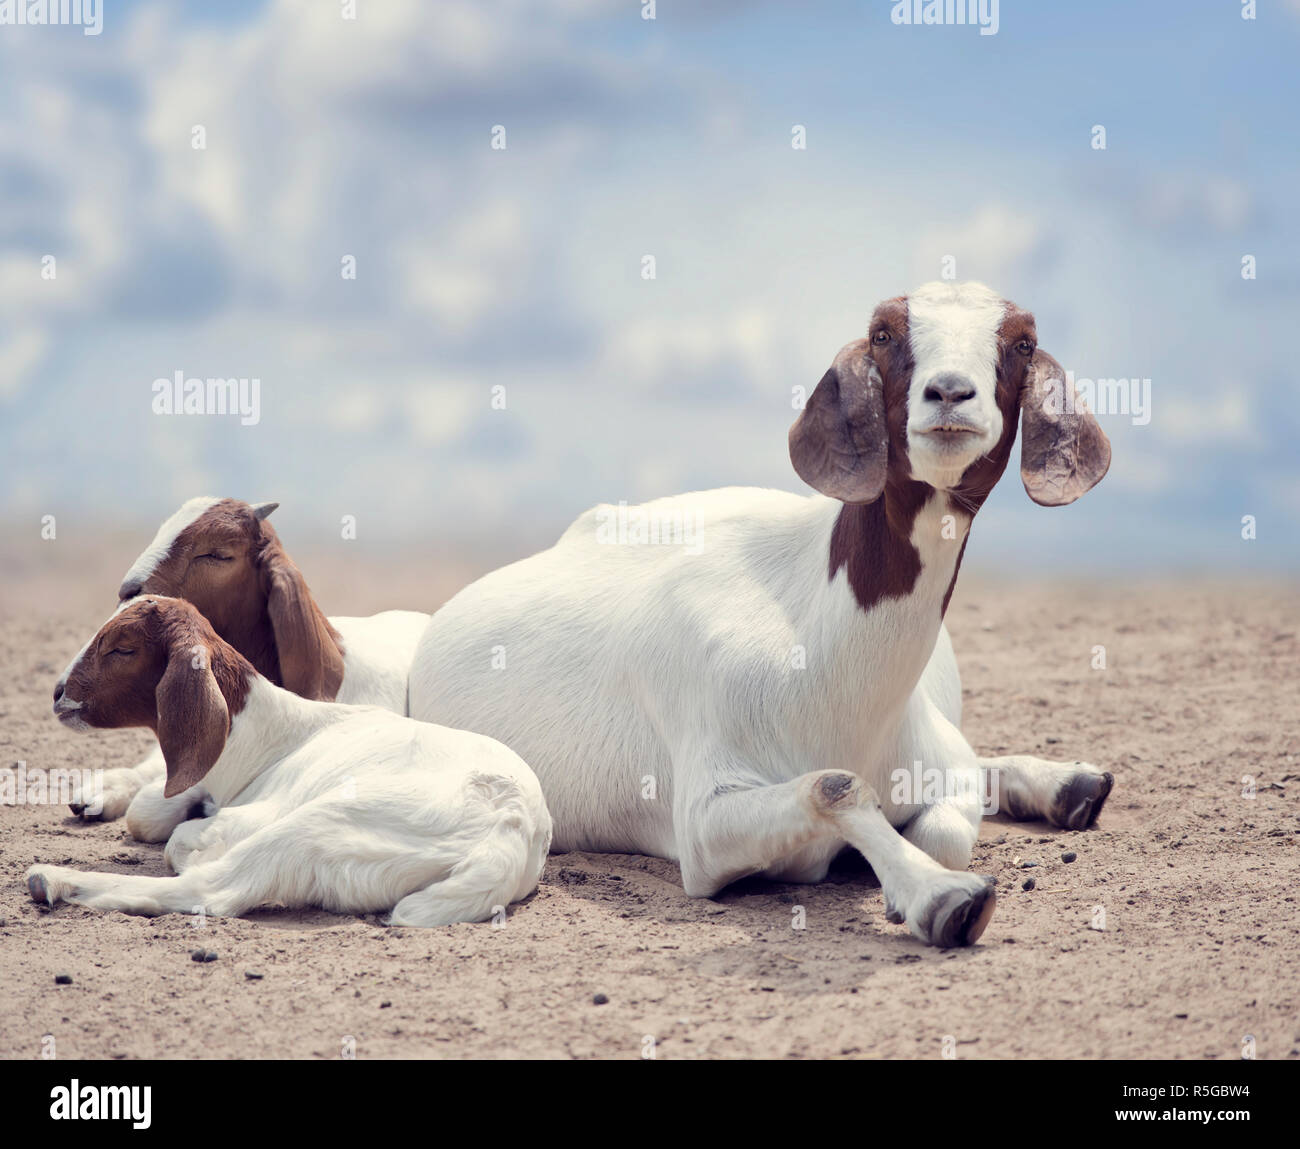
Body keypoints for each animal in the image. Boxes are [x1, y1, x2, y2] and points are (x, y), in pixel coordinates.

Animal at [32, 596, 550, 926]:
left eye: (123, 647)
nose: (57, 693)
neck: (271, 739)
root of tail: (509, 828)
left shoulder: (260, 813)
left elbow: (180, 841)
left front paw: (197, 841)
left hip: (321, 825)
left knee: (209, 891)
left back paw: (53, 880)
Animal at [407, 282, 1114, 947]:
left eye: (1022, 342)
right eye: (882, 333)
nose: (949, 394)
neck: (833, 675)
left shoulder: (940, 761)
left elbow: (939, 824)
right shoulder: (704, 818)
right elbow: (835, 787)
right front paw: (942, 899)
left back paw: (1073, 786)